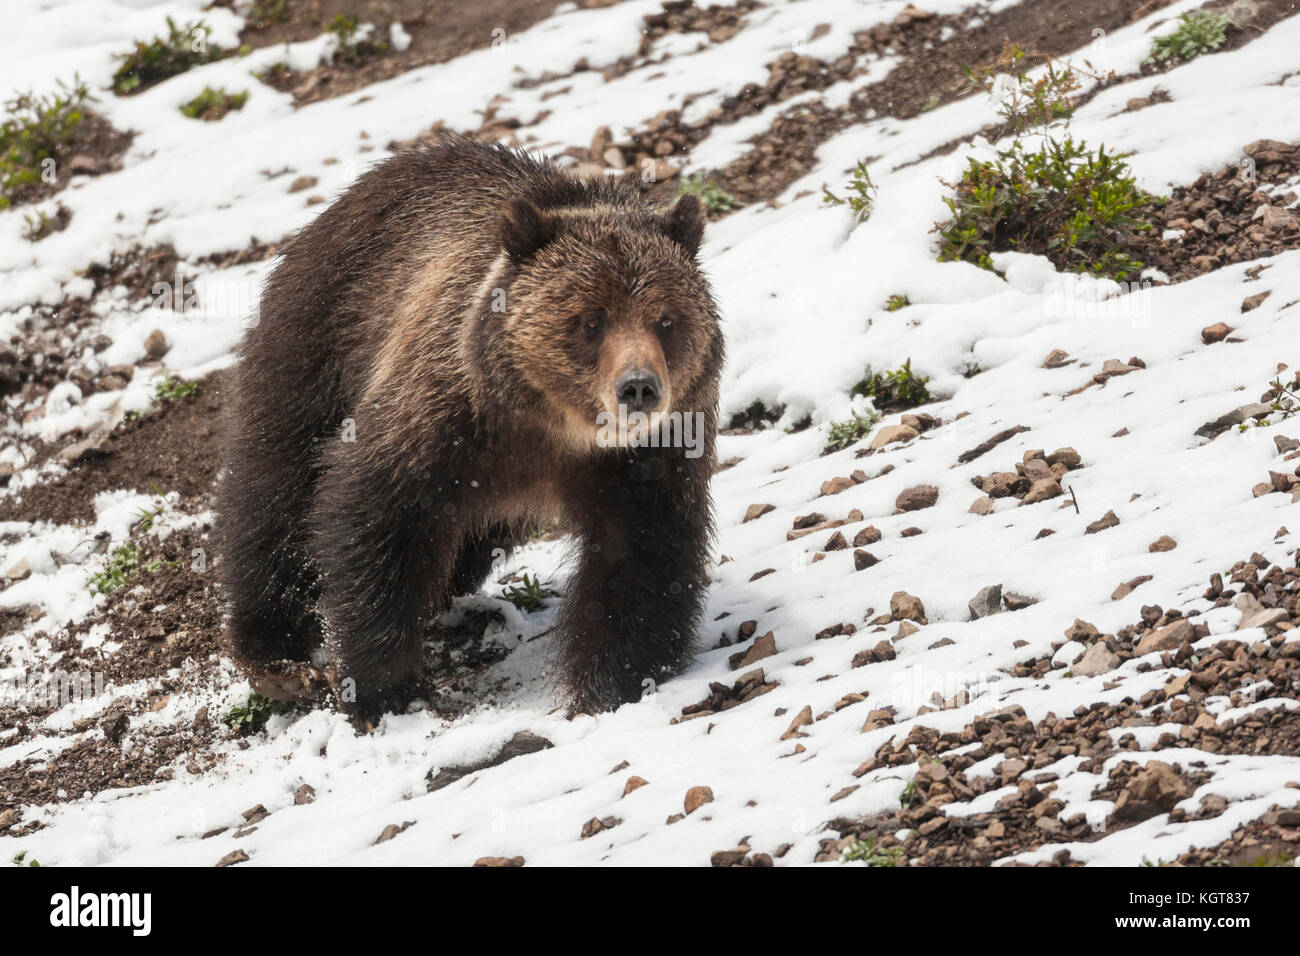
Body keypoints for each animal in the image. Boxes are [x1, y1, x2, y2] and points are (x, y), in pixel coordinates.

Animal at [218, 132, 724, 719]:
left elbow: (641, 557)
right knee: (275, 492)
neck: (550, 428)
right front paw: (384, 687)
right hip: (317, 339)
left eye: (667, 320)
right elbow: (375, 520)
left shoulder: (647, 457)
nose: (638, 387)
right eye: (590, 319)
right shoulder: (441, 416)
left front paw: (609, 684)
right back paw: (276, 656)